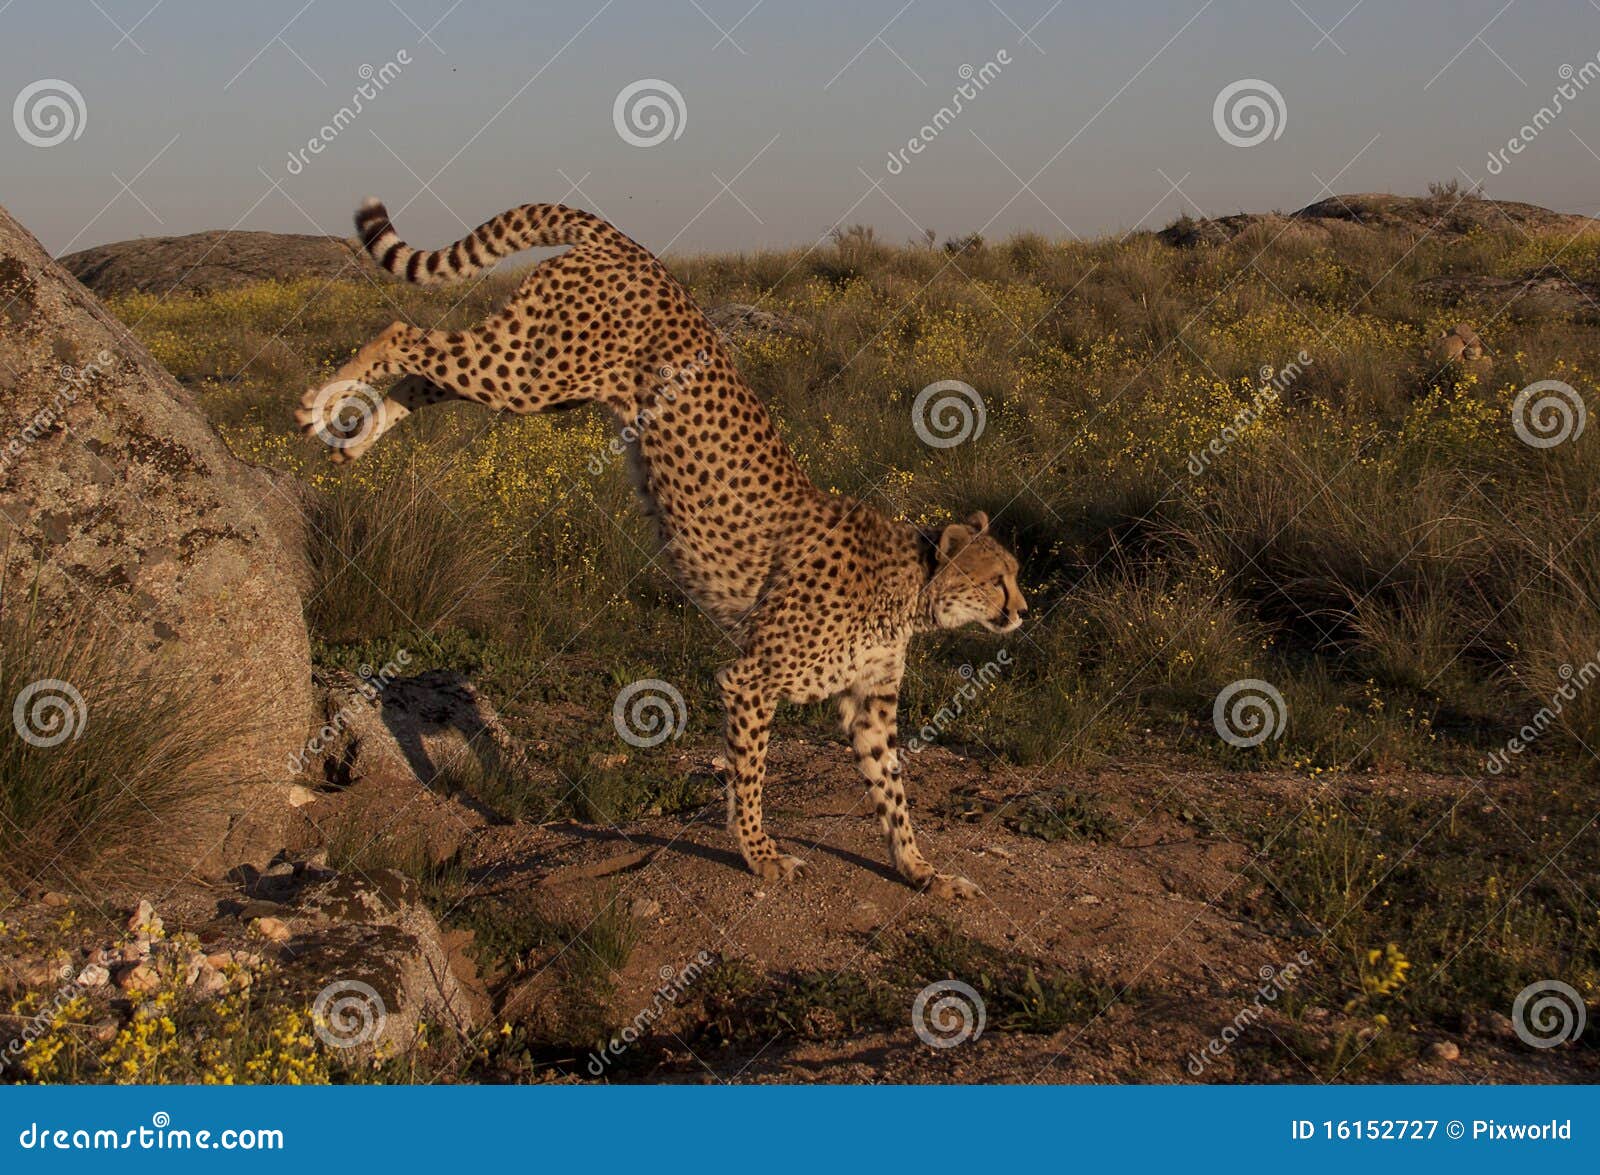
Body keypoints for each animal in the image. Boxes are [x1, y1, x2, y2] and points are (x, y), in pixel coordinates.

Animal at [294, 197, 1028, 899]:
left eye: (1016, 575)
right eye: (997, 579)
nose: (1023, 611)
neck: (910, 586)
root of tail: (634, 248)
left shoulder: (869, 704)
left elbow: (892, 793)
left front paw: (922, 870)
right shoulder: (750, 679)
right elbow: (750, 776)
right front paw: (760, 855)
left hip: (542, 381)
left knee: (426, 375)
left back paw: (351, 433)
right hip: (538, 369)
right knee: (404, 333)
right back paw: (316, 402)